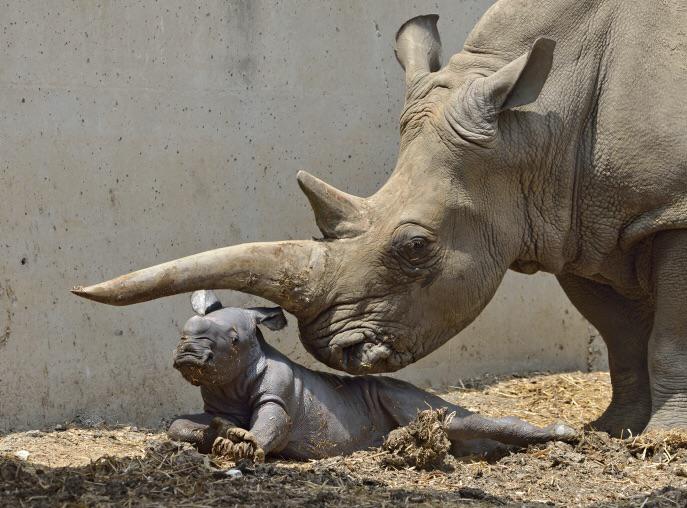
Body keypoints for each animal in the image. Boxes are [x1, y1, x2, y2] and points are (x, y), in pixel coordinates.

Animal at [73, 0, 687, 436]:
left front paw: (667, 438)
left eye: (415, 246)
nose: (334, 351)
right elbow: (618, 333)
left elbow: (667, 336)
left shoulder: (667, 212)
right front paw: (613, 430)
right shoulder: (580, 222)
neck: (537, 129)